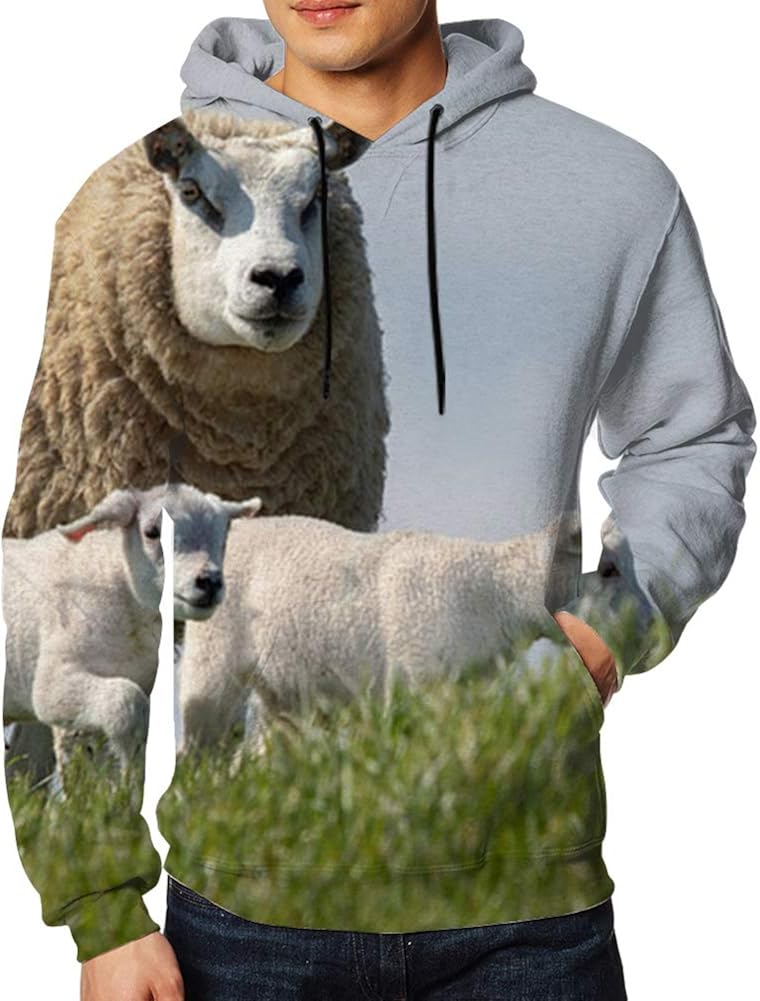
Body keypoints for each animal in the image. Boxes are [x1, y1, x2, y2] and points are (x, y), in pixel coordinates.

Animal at [2, 483, 261, 797]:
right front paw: (131, 781)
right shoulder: (54, 681)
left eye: (224, 534)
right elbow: (128, 704)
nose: (209, 582)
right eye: (152, 532)